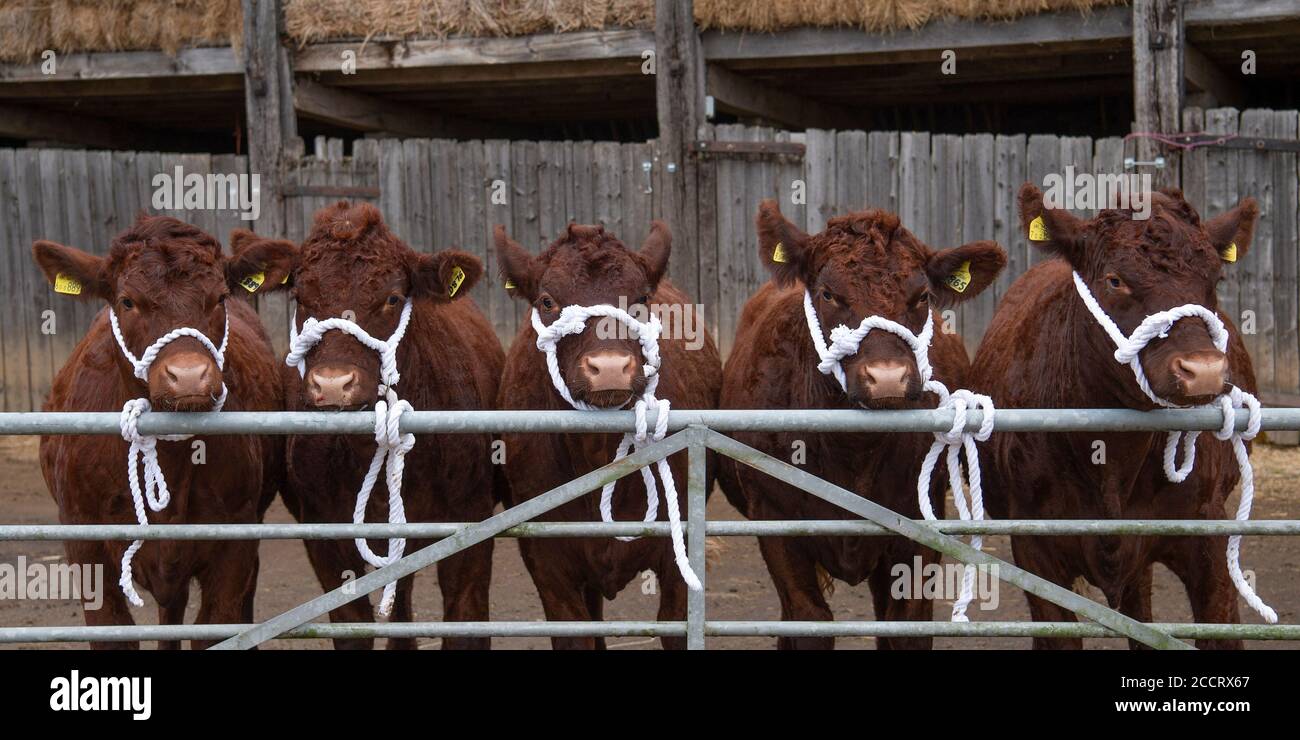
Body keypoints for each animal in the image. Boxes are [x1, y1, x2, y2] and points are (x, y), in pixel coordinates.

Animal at [32, 215, 293, 649]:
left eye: (220, 298)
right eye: (127, 301)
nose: (188, 376)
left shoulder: (235, 541)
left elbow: (216, 626)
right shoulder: (85, 541)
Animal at [279, 201, 503, 650]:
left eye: (393, 297)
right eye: (300, 296)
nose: (333, 383)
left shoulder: (470, 523)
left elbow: (465, 620)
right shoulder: (322, 534)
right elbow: (352, 625)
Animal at [717, 200, 1007, 650]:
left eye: (922, 295)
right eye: (828, 293)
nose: (887, 377)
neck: (853, 450)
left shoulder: (917, 524)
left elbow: (905, 625)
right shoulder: (773, 517)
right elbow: (808, 619)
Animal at [970, 184, 1260, 649]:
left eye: (1214, 279)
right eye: (1115, 280)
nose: (1203, 370)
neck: (1113, 463)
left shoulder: (1208, 532)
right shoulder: (1034, 551)